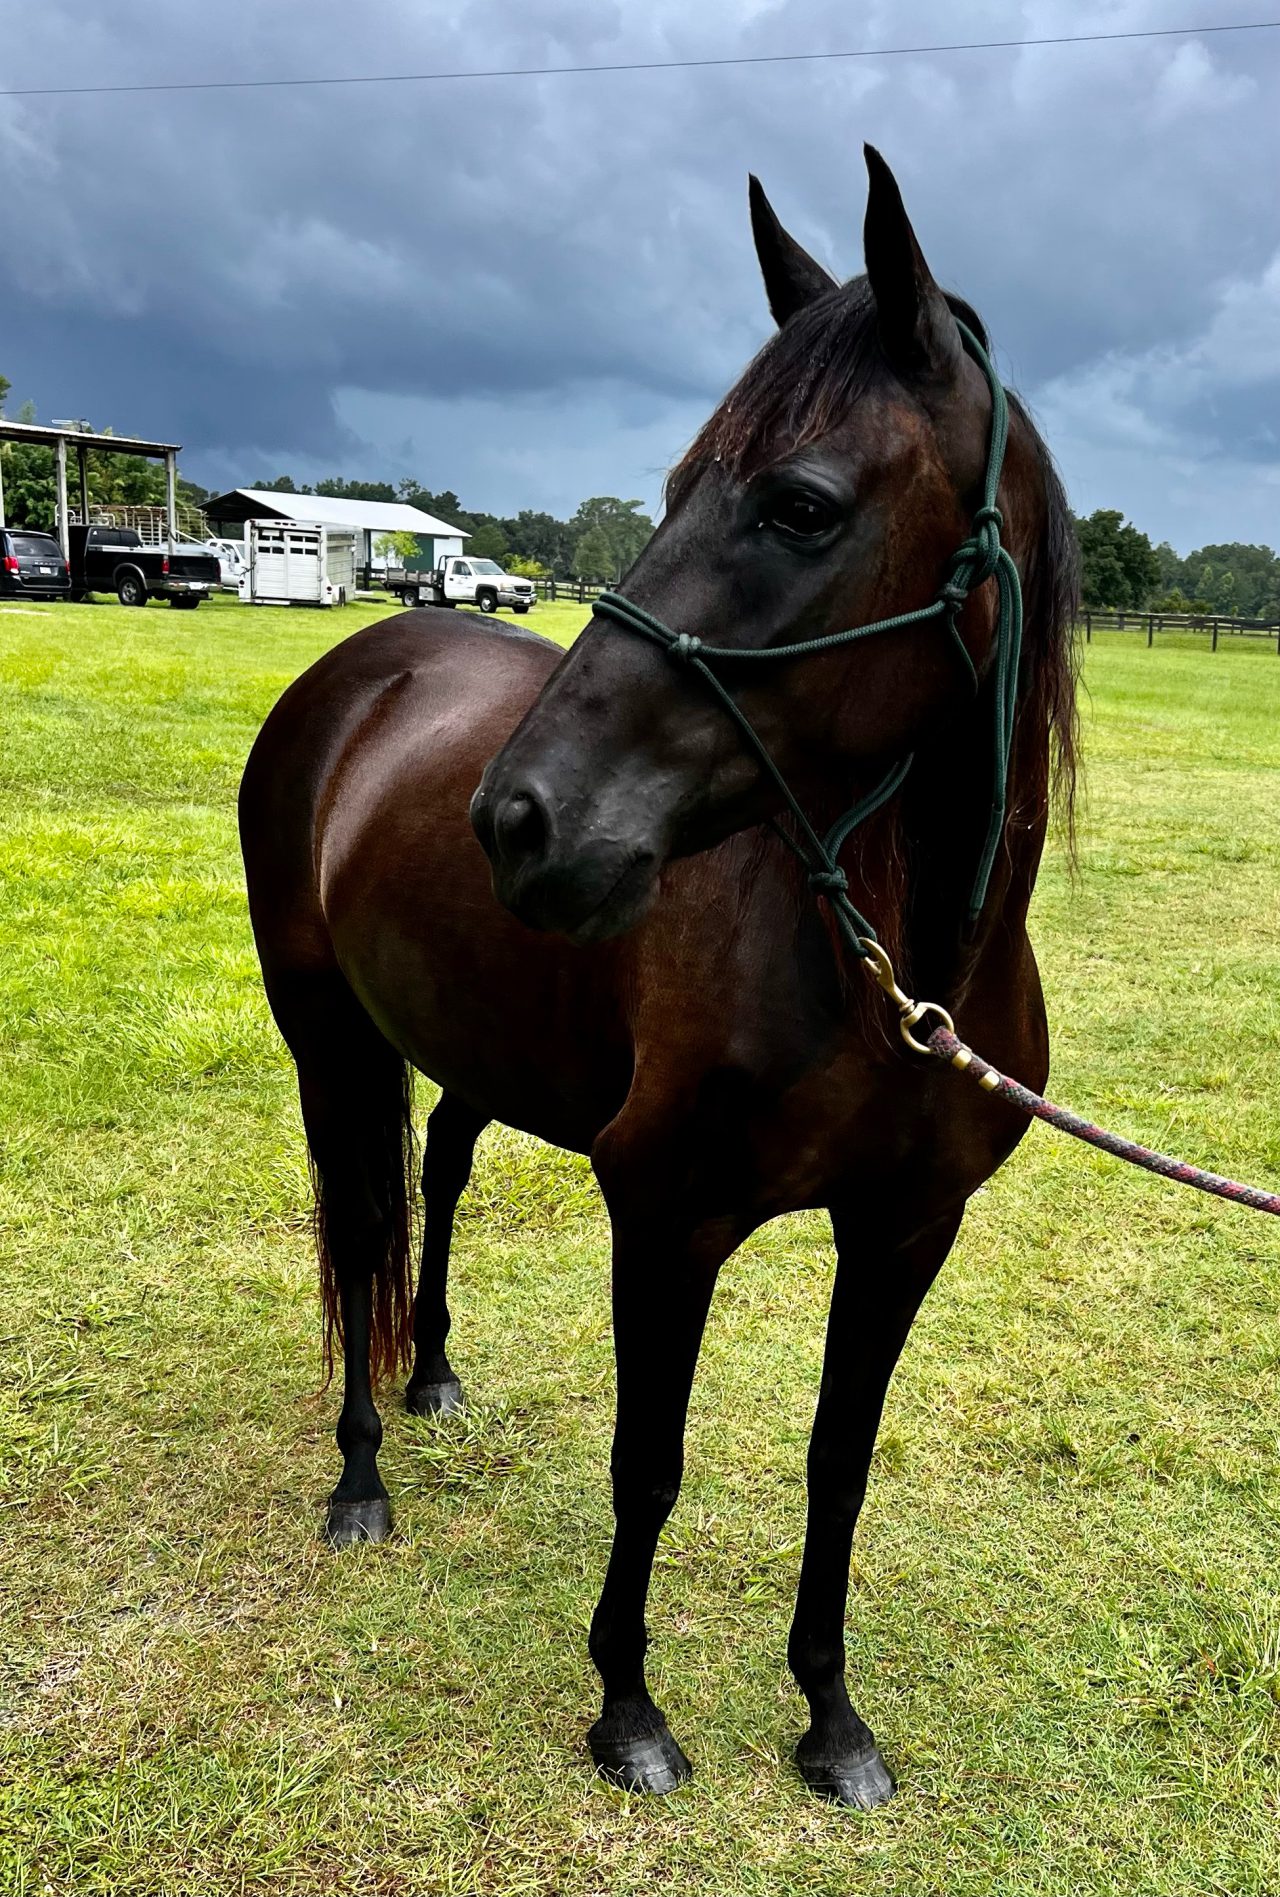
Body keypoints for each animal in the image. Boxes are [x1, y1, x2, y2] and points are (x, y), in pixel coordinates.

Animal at [239, 145, 1078, 1809]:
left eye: (801, 505)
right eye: (678, 482)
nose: (519, 818)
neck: (888, 971)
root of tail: (353, 672)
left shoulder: (907, 1230)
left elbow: (838, 1461)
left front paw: (830, 1714)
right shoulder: (668, 1215)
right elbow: (654, 1459)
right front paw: (627, 1706)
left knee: (436, 1169)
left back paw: (434, 1378)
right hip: (325, 1037)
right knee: (357, 1225)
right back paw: (363, 1470)